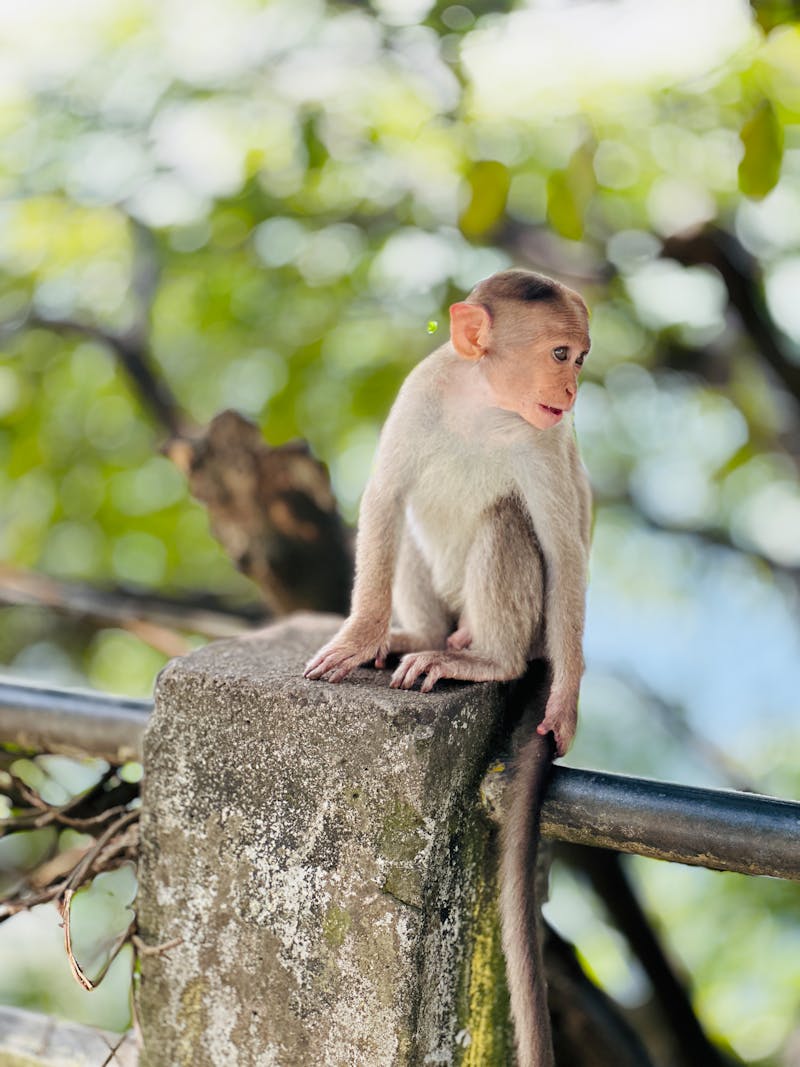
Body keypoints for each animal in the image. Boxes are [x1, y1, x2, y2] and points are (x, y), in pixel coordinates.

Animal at [304, 268, 591, 1066]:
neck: (483, 406)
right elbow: (384, 498)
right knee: (410, 523)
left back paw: (483, 659)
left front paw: (565, 703)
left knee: (508, 522)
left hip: (527, 627)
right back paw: (412, 636)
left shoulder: (547, 441)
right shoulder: (418, 398)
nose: (573, 388)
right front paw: (360, 635)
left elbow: (565, 549)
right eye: (561, 353)